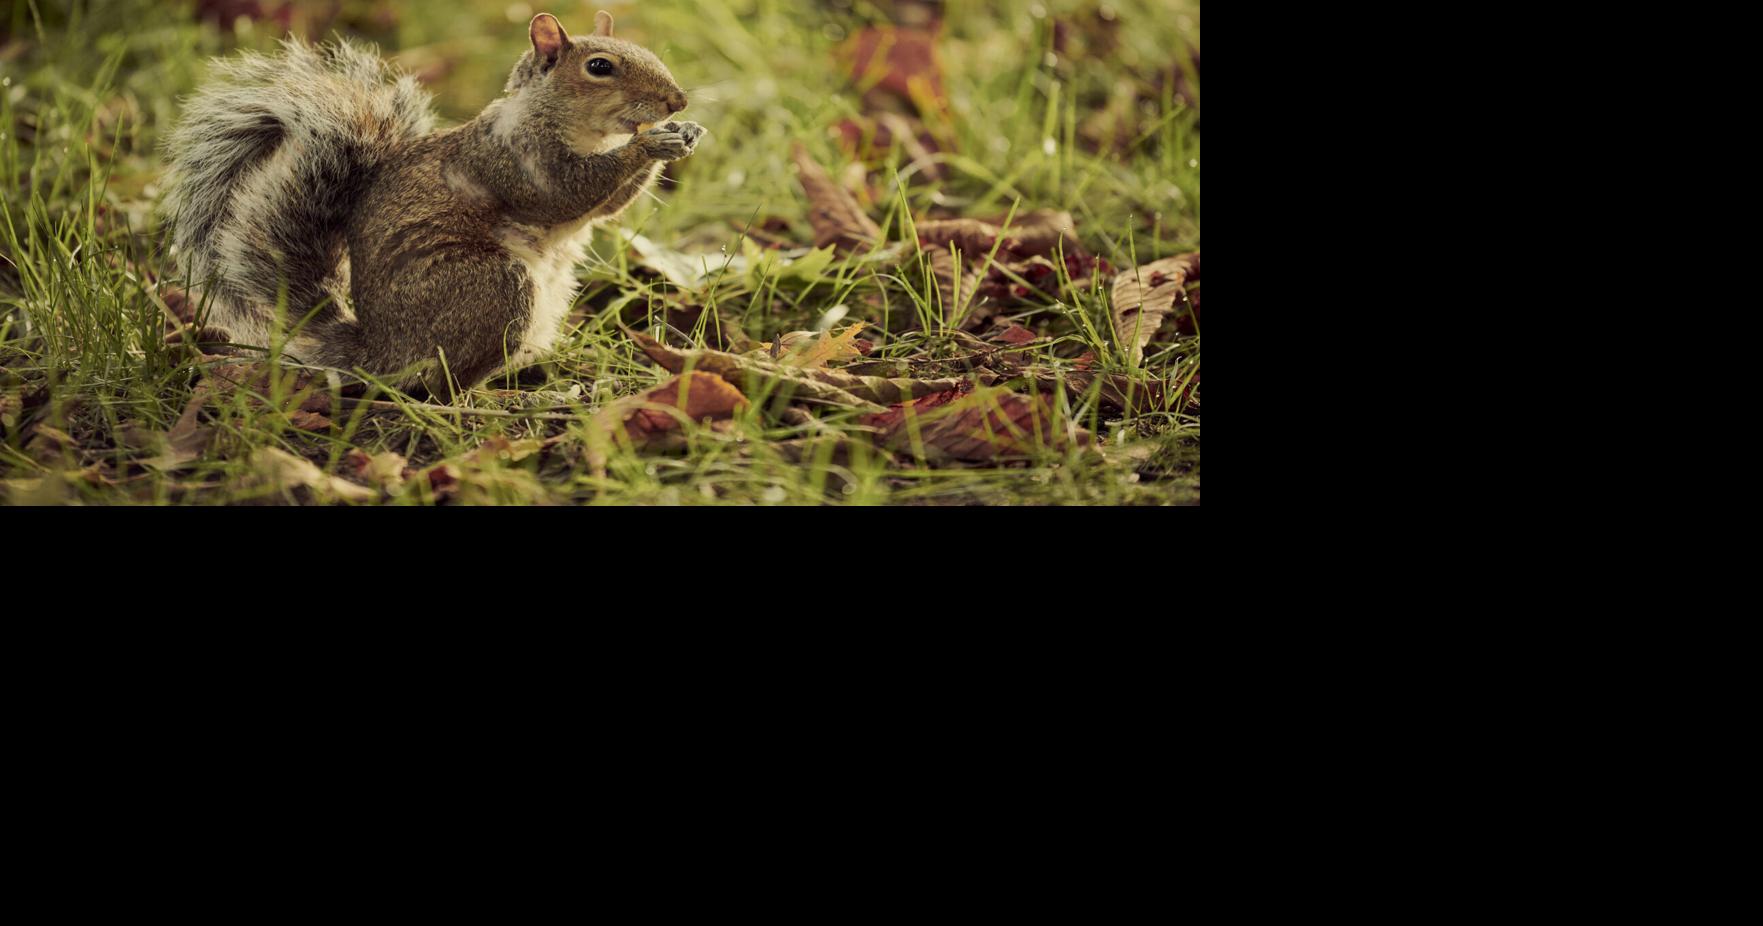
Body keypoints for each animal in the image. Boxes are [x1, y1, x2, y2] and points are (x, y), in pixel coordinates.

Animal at [160, 10, 703, 397]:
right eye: (599, 67)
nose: (676, 101)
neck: (571, 127)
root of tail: (381, 353)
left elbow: (606, 207)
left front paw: (683, 133)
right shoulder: (512, 161)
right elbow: (567, 193)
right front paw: (647, 143)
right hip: (490, 288)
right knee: (440, 386)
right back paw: (489, 400)